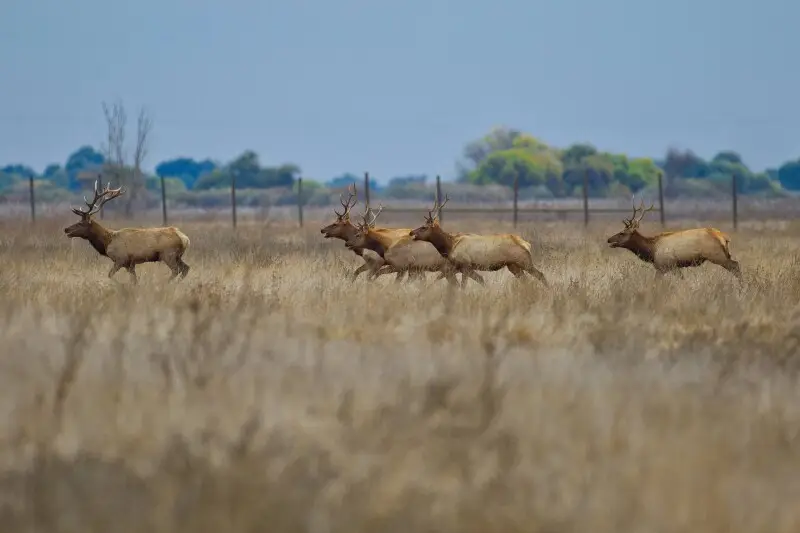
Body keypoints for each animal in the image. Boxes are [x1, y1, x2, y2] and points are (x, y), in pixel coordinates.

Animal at [409, 196, 548, 289]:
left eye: (424, 227)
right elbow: (480, 280)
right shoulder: (460, 268)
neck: (450, 246)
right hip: (513, 266)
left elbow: (465, 285)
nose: (411, 233)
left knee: (541, 275)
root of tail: (526, 244)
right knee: (525, 280)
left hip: (524, 261)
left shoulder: (465, 265)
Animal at [607, 197, 742, 279]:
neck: (651, 251)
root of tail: (723, 237)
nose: (609, 239)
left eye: (622, 233)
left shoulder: (664, 266)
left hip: (716, 255)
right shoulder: (672, 267)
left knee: (735, 265)